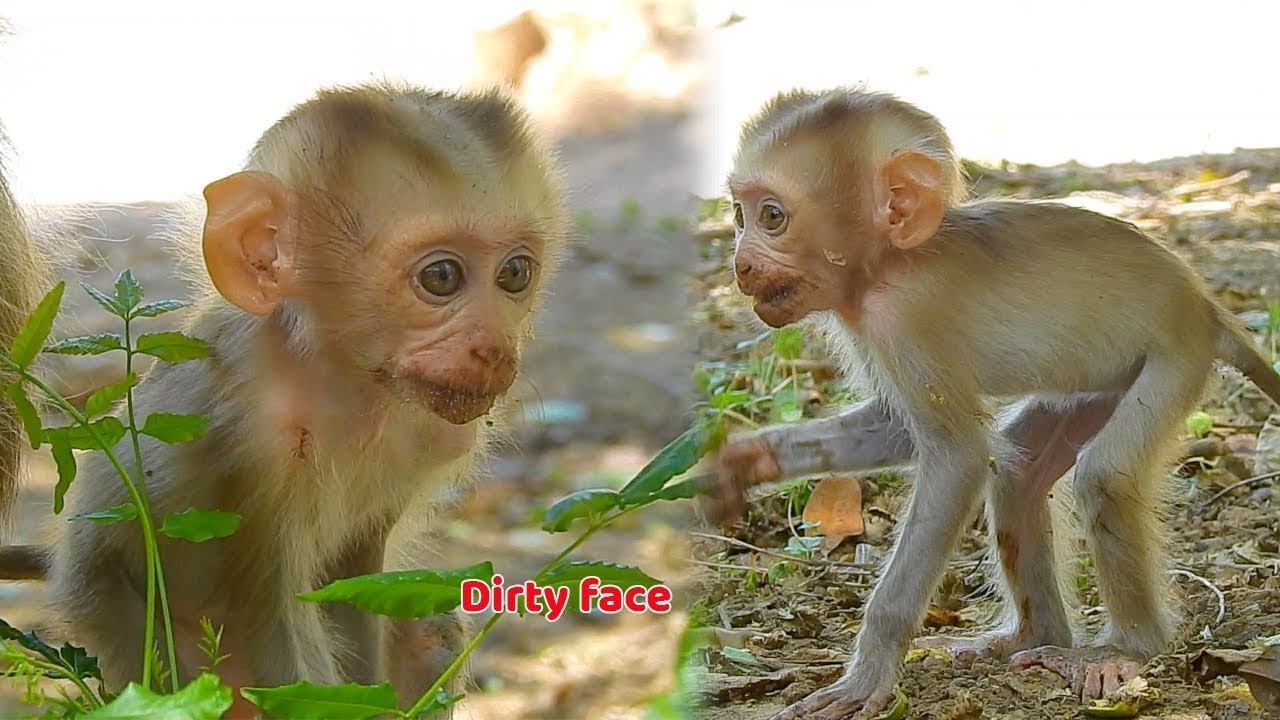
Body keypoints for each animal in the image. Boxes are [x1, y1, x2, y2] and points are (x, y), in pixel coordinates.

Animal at [0, 82, 569, 717]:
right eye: (441, 277)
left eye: (515, 273)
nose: (494, 348)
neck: (348, 390)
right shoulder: (253, 442)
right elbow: (266, 625)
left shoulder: (430, 430)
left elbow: (354, 584)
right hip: (110, 604)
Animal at [709, 87, 1280, 720]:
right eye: (738, 215)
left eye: (772, 217)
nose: (739, 263)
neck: (890, 264)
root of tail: (1206, 306)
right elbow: (896, 429)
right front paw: (746, 460)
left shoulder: (904, 319)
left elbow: (957, 459)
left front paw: (869, 673)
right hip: (1101, 383)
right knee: (1020, 476)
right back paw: (1033, 637)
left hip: (1175, 359)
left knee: (1103, 476)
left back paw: (1126, 650)